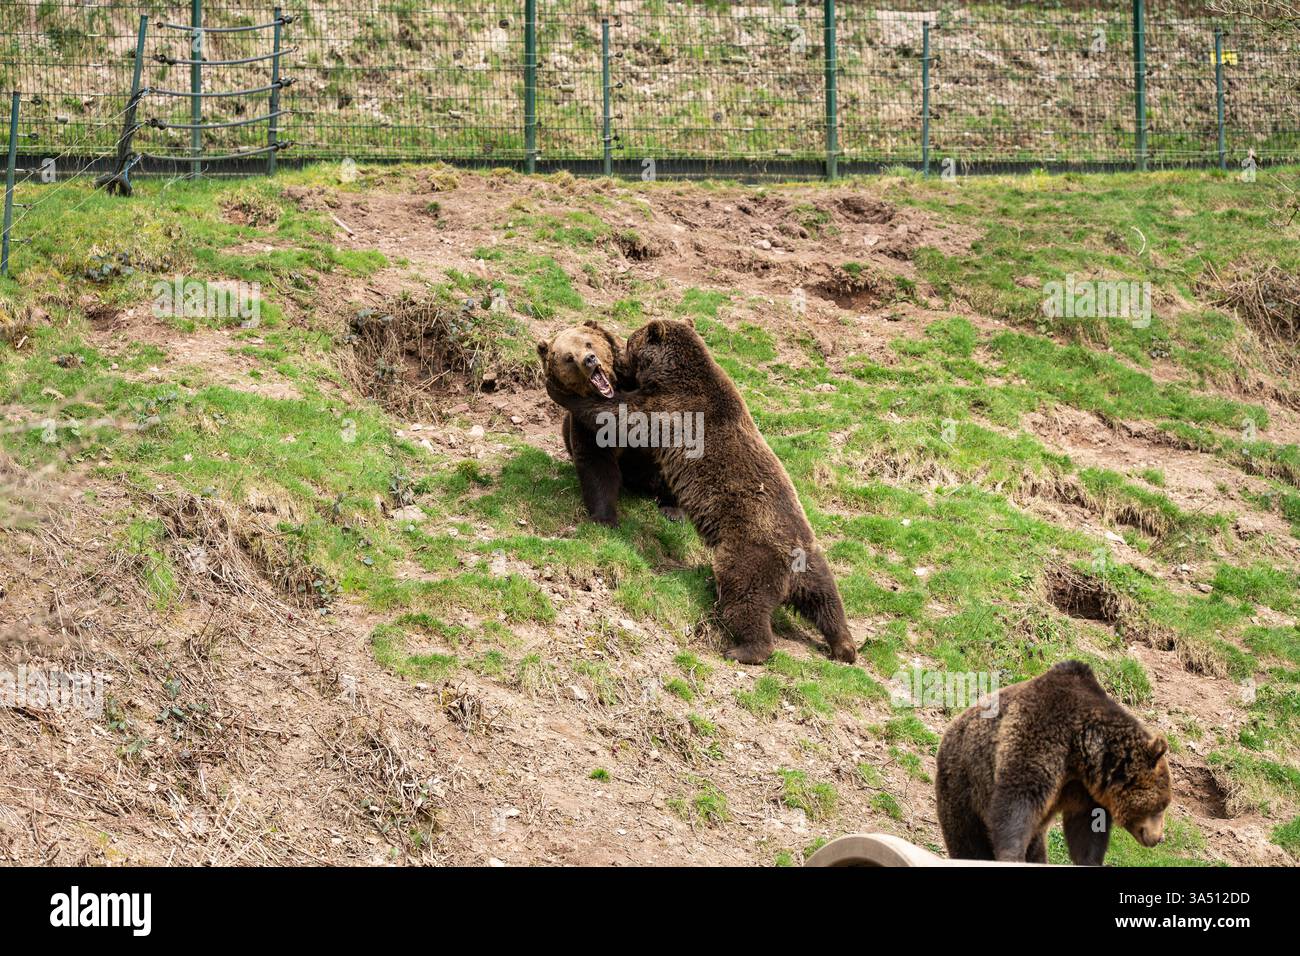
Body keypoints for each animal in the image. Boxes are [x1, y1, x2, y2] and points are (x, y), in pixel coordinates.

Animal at [537, 320, 676, 526]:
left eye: (588, 343)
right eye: (569, 357)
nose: (589, 359)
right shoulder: (586, 422)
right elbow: (596, 464)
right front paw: (605, 518)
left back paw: (672, 508)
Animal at [935, 659, 1172, 865]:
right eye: (1162, 805)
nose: (1158, 838)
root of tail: (950, 728)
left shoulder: (1084, 790)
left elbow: (1087, 829)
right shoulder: (1041, 735)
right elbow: (1017, 800)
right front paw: (1012, 856)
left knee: (1036, 846)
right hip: (964, 784)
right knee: (967, 837)